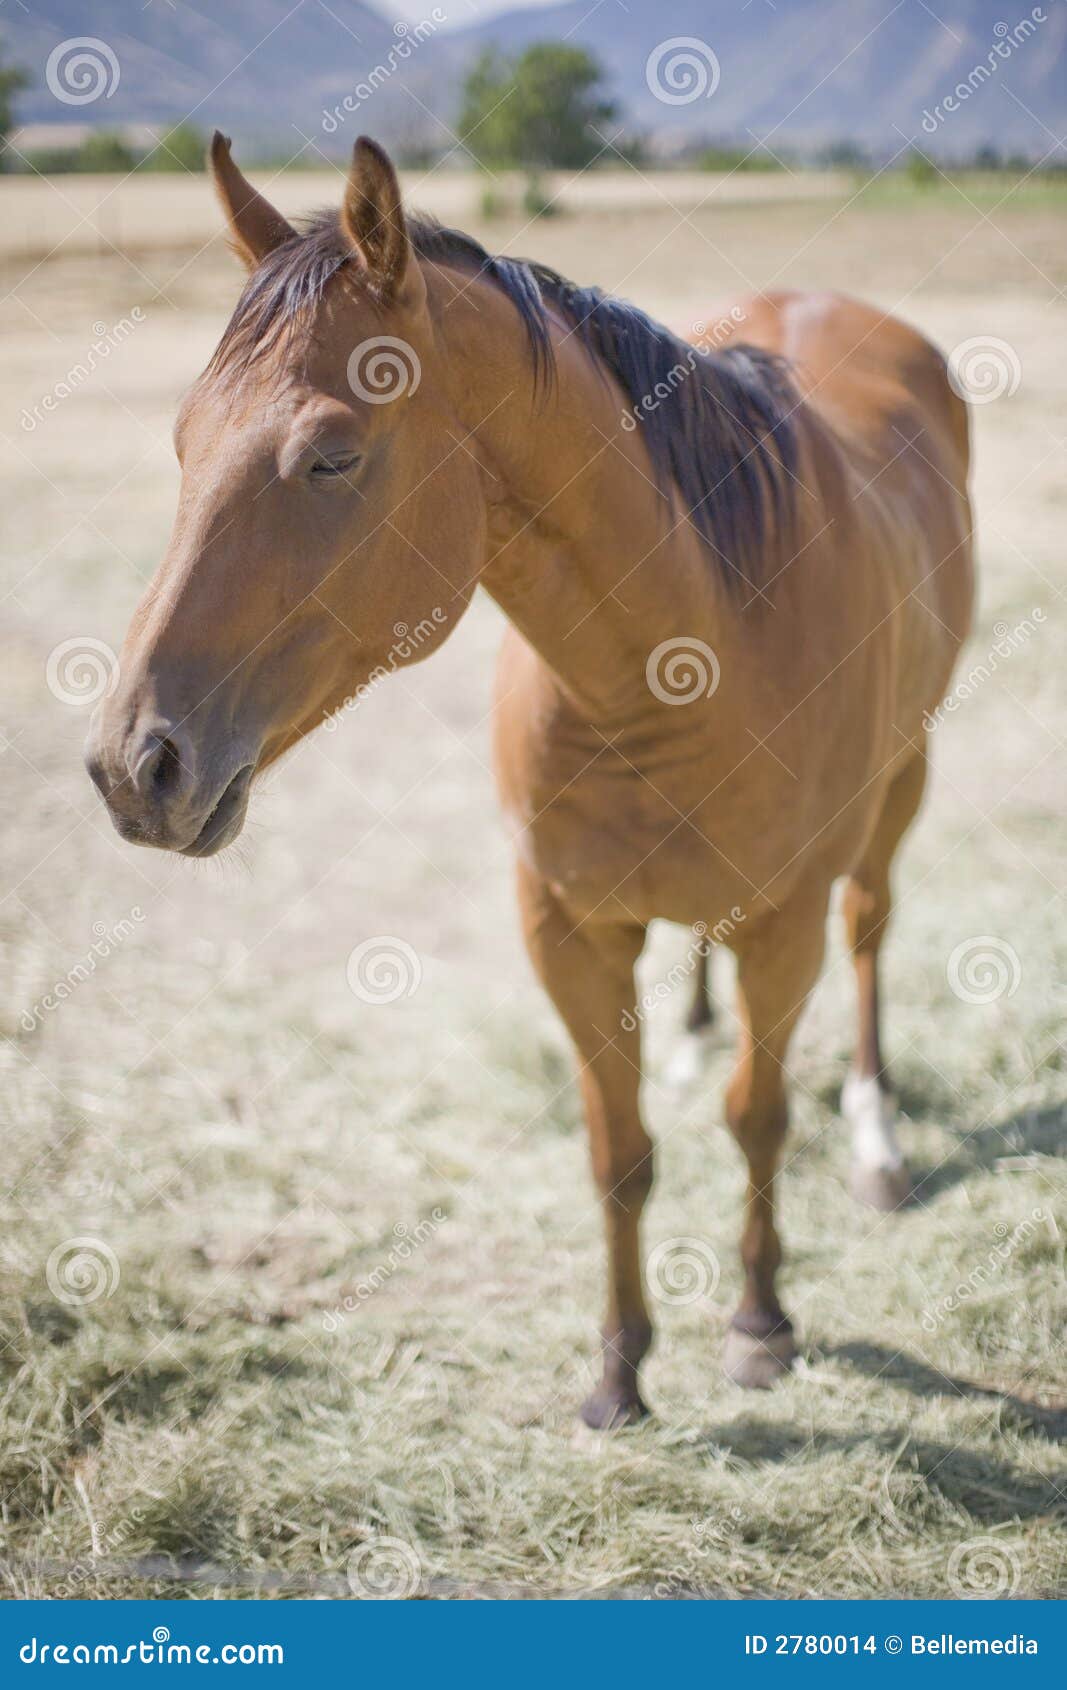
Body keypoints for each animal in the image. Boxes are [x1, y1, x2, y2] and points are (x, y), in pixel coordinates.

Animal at [86, 136, 974, 1428]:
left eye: (331, 455)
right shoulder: (564, 927)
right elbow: (618, 1153)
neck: (686, 652)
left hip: (898, 785)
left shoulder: (781, 922)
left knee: (868, 930)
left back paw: (874, 1140)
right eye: (183, 441)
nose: (133, 765)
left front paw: (758, 1324)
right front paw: (617, 1371)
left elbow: (755, 1118)